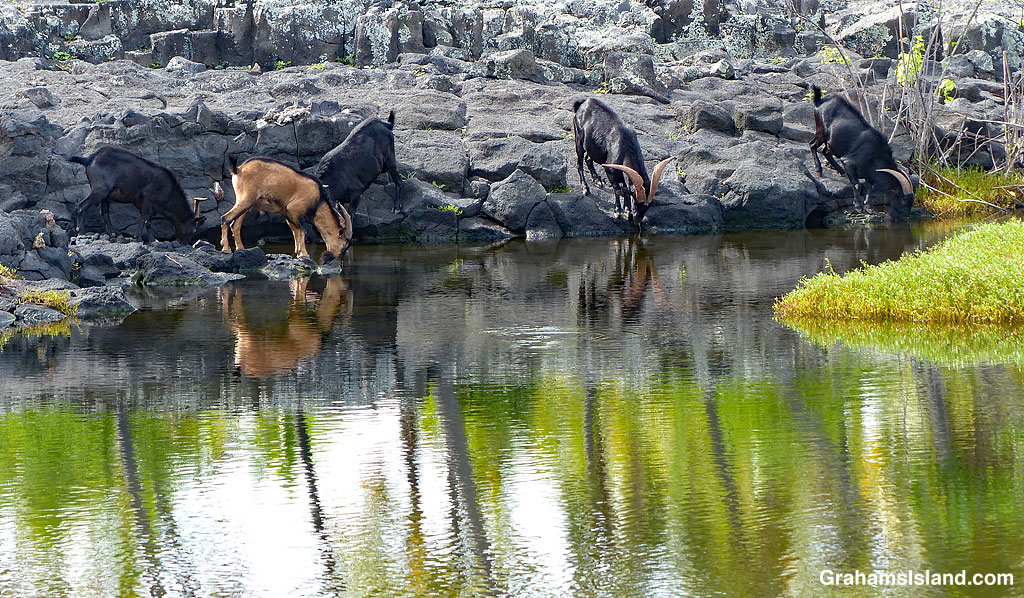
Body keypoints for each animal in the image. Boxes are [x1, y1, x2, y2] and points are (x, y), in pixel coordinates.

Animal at [67, 145, 198, 244]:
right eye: (193, 230)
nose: (185, 243)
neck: (169, 191)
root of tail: (88, 159)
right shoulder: (146, 198)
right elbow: (144, 218)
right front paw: (138, 237)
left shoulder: (141, 202)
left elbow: (148, 220)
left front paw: (152, 239)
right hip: (100, 189)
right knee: (80, 206)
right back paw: (81, 231)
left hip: (105, 195)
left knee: (104, 212)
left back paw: (114, 233)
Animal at [220, 157, 353, 263]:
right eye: (344, 245)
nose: (338, 261)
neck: (318, 201)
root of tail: (239, 169)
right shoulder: (296, 210)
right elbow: (303, 231)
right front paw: (304, 254)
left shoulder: (287, 213)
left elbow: (295, 231)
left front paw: (299, 252)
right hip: (246, 199)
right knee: (225, 218)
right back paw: (226, 249)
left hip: (247, 204)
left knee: (235, 225)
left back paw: (241, 248)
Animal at [810, 86, 915, 220]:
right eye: (902, 200)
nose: (906, 217)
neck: (875, 155)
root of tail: (820, 101)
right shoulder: (849, 162)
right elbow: (856, 185)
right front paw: (858, 207)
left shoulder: (869, 173)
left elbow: (870, 188)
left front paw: (869, 208)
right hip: (821, 132)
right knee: (812, 145)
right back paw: (819, 169)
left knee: (825, 150)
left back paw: (840, 170)